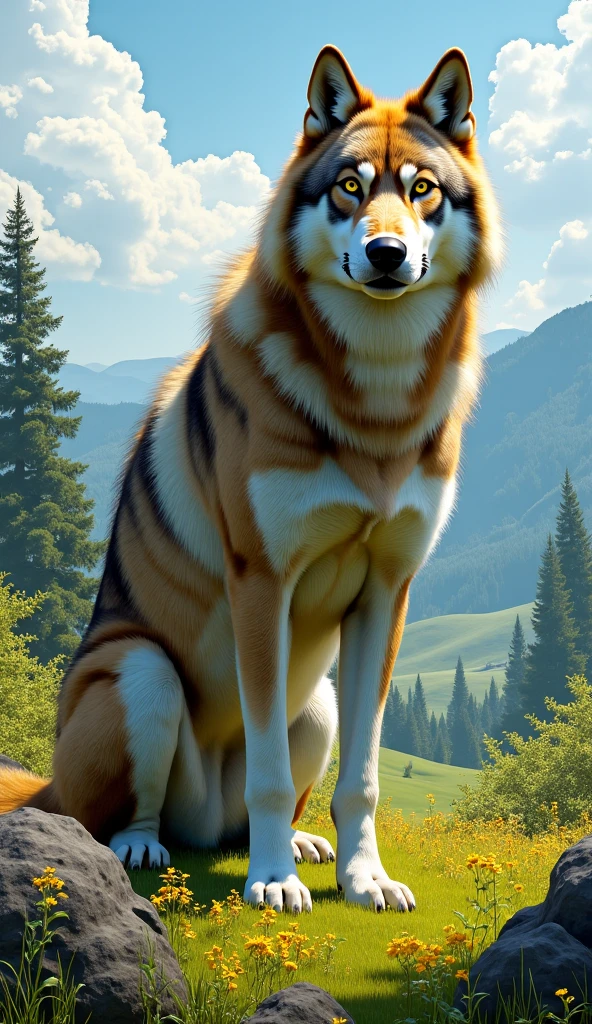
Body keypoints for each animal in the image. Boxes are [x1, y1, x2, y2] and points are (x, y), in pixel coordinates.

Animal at [0, 45, 500, 913]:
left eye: (422, 189)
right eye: (349, 186)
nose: (386, 254)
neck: (372, 406)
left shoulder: (387, 595)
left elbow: (363, 778)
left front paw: (364, 879)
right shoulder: (262, 583)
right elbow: (265, 769)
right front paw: (272, 882)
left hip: (320, 702)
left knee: (265, 805)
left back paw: (295, 842)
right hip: (142, 674)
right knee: (132, 812)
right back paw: (148, 846)